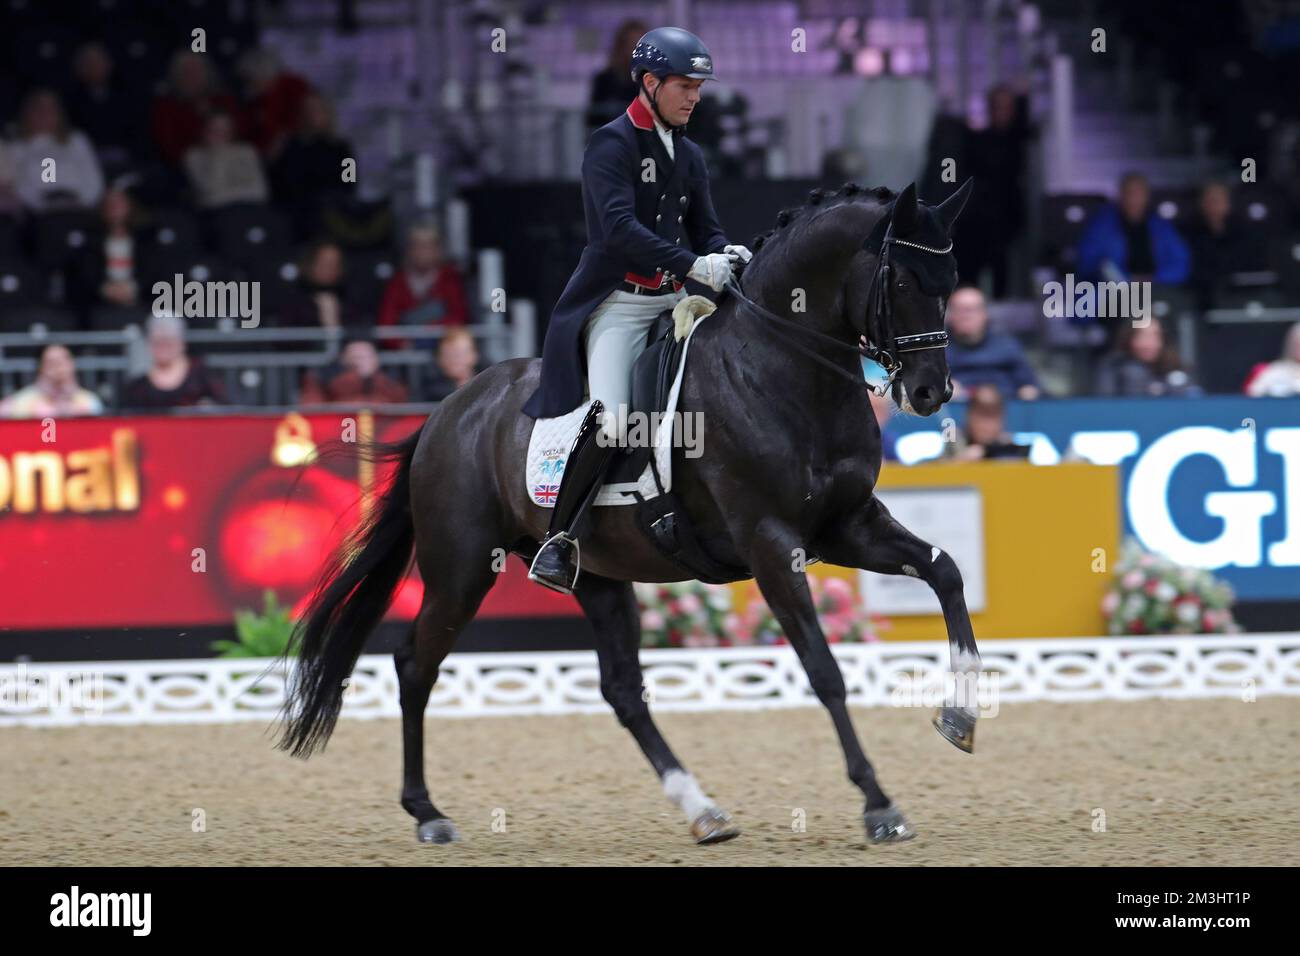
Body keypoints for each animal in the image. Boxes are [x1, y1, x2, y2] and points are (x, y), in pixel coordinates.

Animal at [277, 179, 981, 846]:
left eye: (950, 283)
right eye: (901, 280)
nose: (930, 393)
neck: (780, 367)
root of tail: (448, 409)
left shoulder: (846, 525)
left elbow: (945, 571)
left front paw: (960, 718)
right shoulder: (770, 542)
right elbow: (824, 668)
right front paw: (880, 806)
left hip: (598, 574)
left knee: (621, 690)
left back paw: (703, 812)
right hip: (462, 568)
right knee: (414, 665)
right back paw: (427, 813)